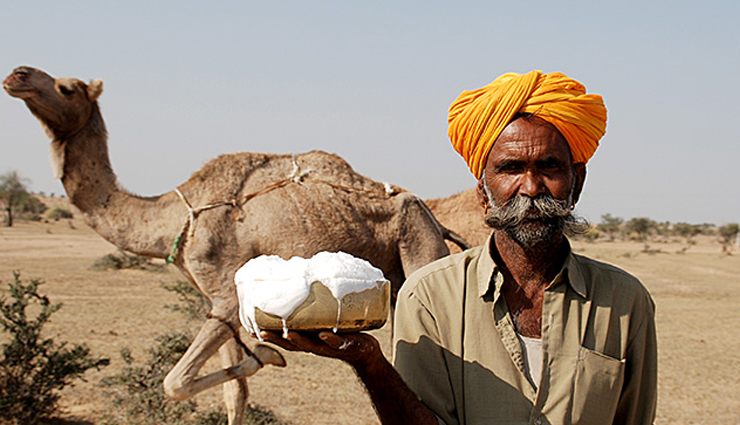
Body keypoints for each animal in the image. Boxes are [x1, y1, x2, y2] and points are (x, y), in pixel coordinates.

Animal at [3, 66, 469, 424]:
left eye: (67, 88)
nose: (17, 74)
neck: (176, 216)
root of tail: (429, 213)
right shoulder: (215, 300)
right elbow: (233, 392)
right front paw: (263, 356)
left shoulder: (225, 295)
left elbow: (176, 382)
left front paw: (268, 354)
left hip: (418, 238)